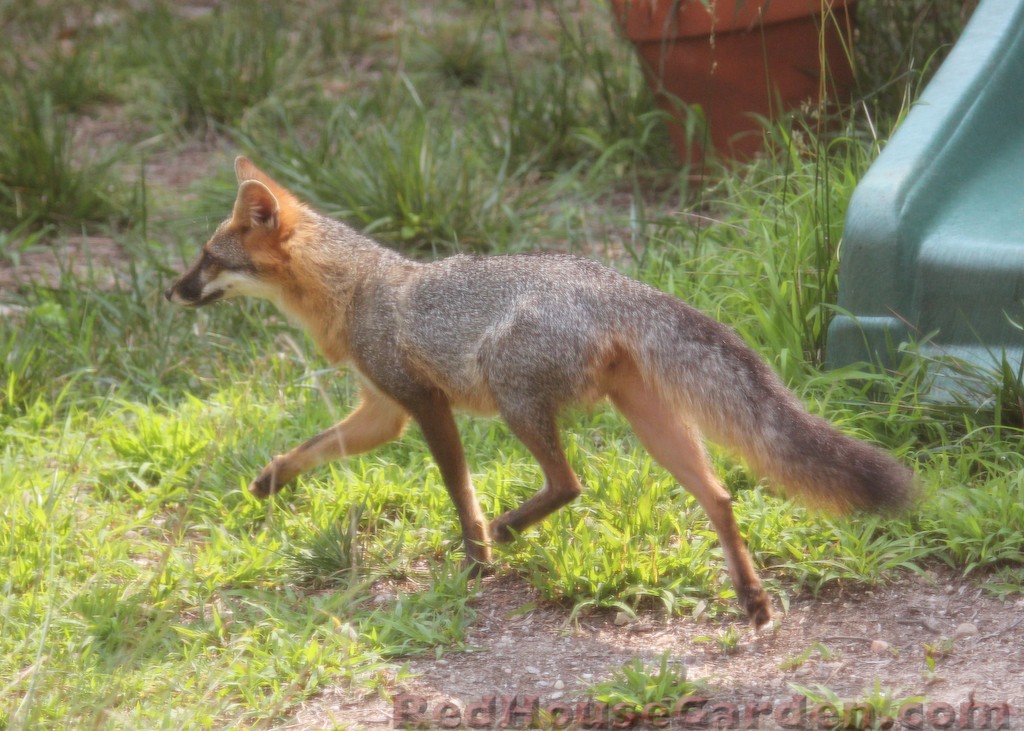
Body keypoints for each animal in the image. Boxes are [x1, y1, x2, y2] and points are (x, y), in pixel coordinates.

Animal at [165, 156, 915, 627]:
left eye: (206, 259)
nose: (170, 291)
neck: (357, 288)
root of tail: (617, 282)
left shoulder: (424, 404)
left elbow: (459, 491)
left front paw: (477, 557)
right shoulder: (384, 411)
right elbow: (313, 447)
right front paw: (269, 480)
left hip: (512, 395)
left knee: (570, 482)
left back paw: (508, 528)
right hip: (651, 426)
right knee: (721, 497)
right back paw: (752, 599)